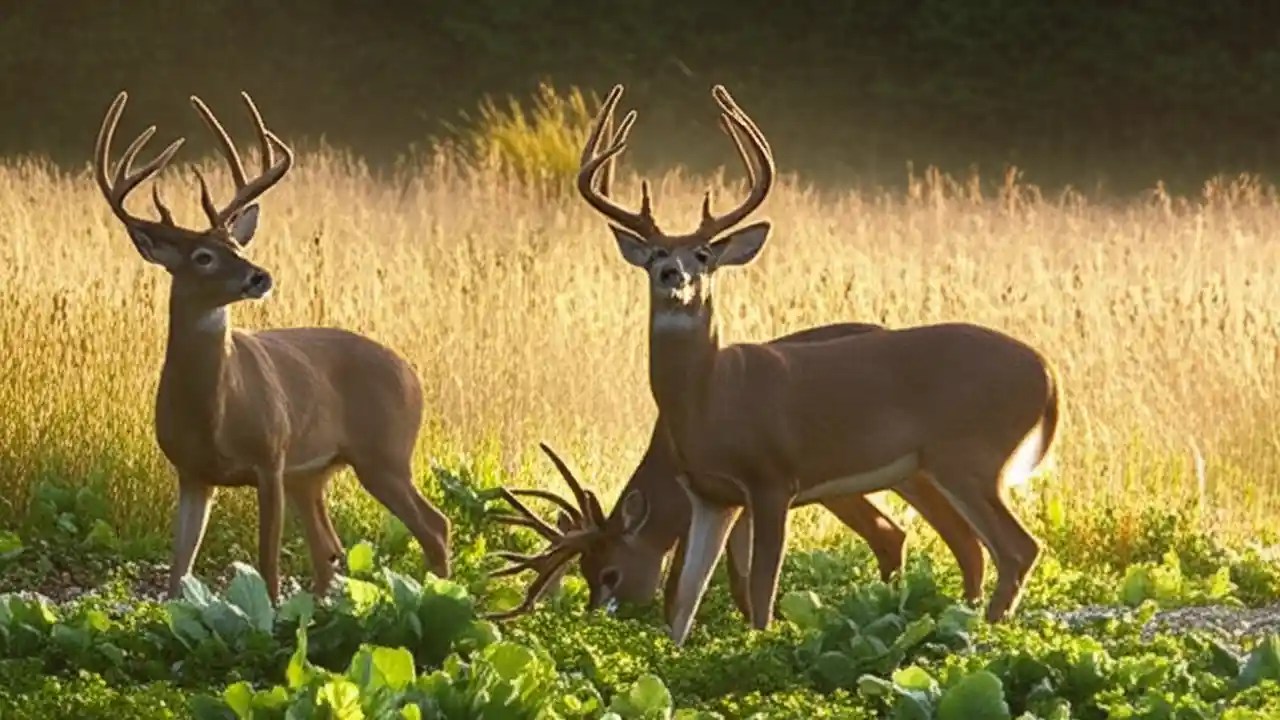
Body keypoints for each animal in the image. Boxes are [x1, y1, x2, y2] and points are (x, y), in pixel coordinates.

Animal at [92, 90, 451, 603]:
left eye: (237, 248)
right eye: (204, 256)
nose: (259, 276)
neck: (215, 413)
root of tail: (412, 373)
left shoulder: (271, 456)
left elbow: (268, 567)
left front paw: (271, 613)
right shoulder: (191, 472)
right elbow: (178, 573)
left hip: (385, 452)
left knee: (433, 527)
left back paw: (449, 599)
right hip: (316, 473)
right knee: (329, 548)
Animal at [486, 330, 992, 625]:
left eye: (610, 573)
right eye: (585, 572)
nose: (596, 613)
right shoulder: (738, 502)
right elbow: (736, 577)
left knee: (910, 532)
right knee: (899, 532)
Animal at [565, 84, 1060, 647]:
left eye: (704, 256)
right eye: (654, 254)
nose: (674, 274)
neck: (709, 396)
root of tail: (1048, 374)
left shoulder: (772, 478)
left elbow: (761, 586)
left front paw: (758, 645)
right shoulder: (712, 496)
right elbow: (684, 599)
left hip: (969, 456)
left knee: (1017, 548)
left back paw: (982, 638)